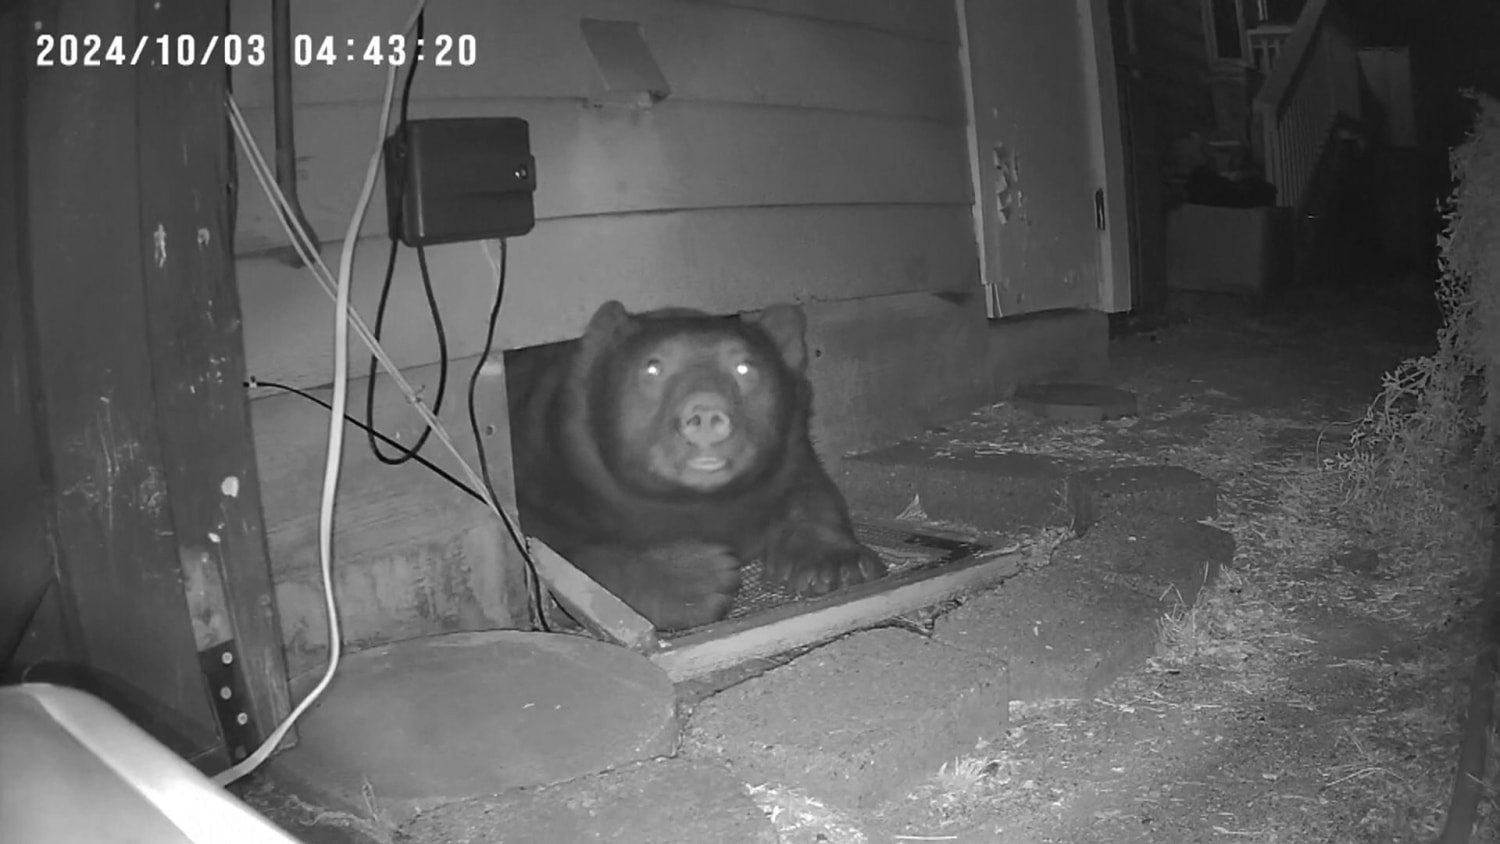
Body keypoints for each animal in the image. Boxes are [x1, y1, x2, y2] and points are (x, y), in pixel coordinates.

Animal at [505, 299, 888, 630]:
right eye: (652, 366)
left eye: (745, 367)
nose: (705, 414)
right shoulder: (546, 466)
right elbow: (552, 548)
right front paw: (696, 577)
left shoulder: (790, 450)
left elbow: (809, 487)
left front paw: (833, 562)